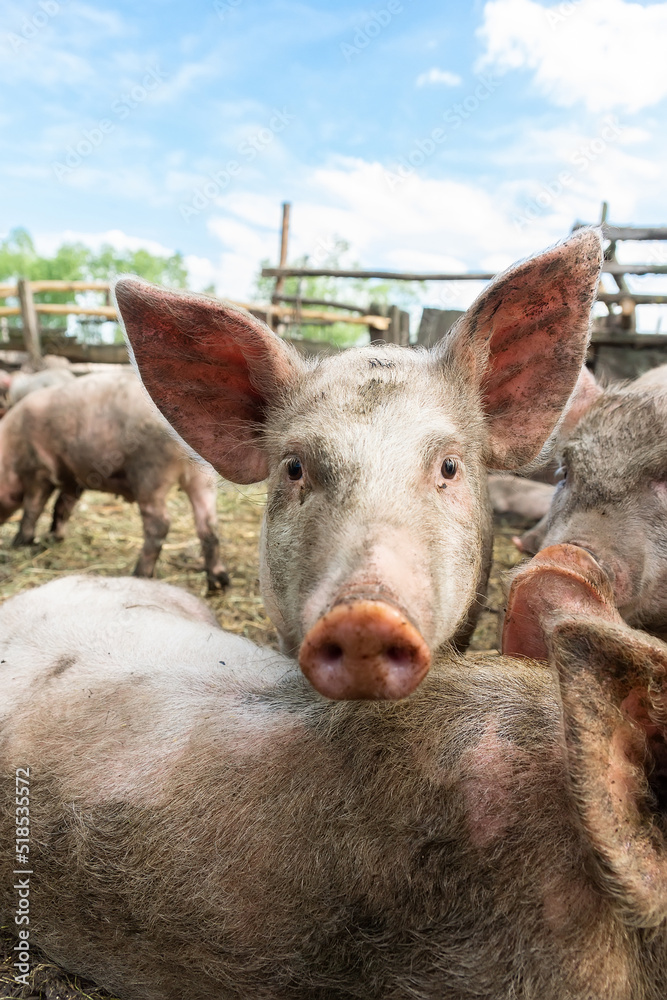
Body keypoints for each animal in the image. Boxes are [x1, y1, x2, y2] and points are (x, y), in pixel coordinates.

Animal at [0, 371, 230, 590]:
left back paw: (138, 574)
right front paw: (52, 538)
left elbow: (33, 508)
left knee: (160, 524)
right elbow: (62, 507)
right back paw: (219, 583)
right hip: (203, 477)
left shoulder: (38, 469)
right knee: (209, 524)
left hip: (150, 474)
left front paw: (20, 542)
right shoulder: (75, 478)